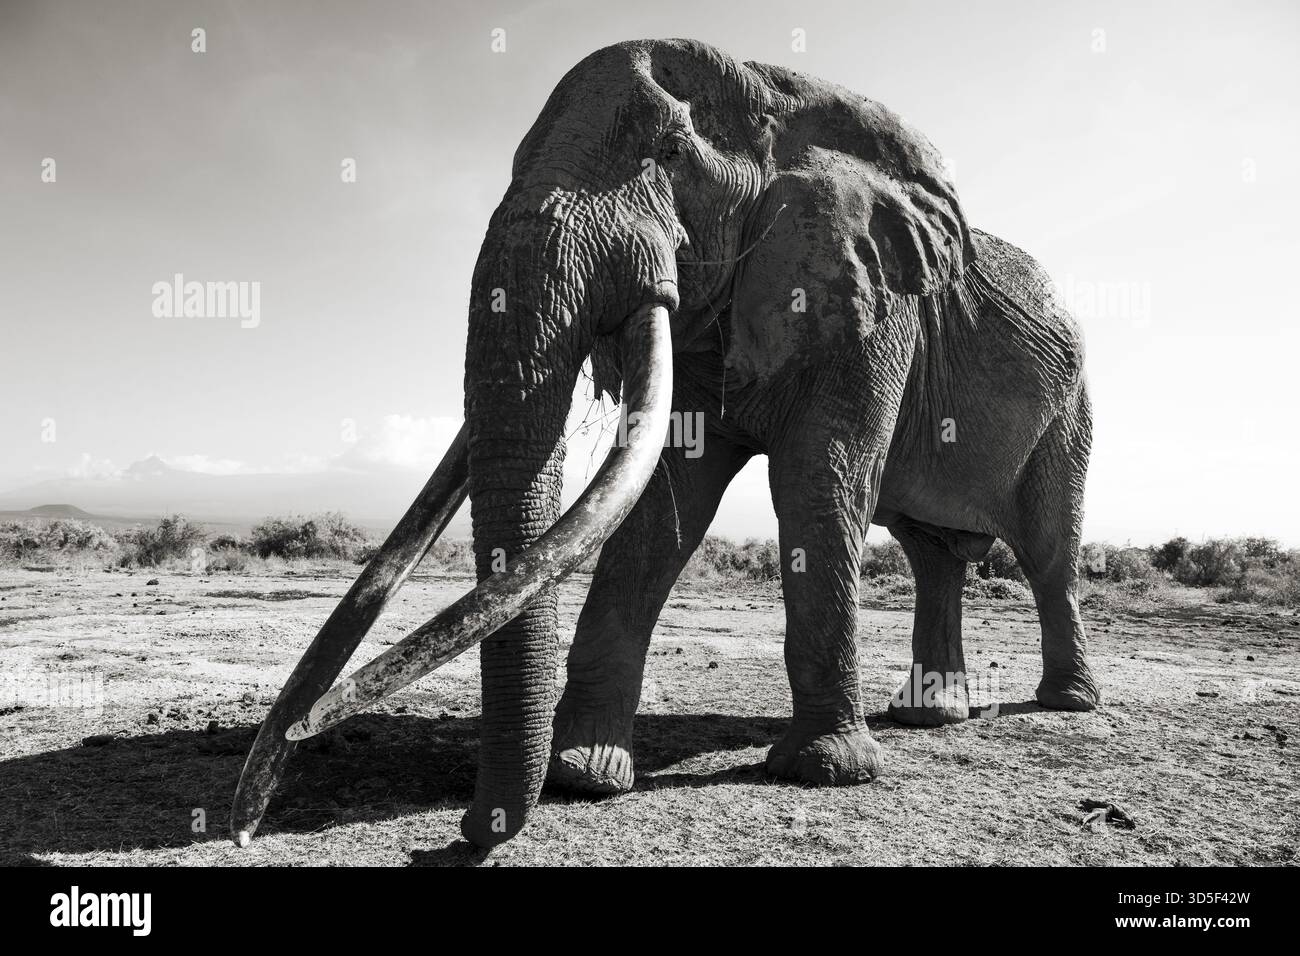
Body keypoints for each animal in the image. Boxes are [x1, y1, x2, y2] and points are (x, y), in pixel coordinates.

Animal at [230, 38, 1099, 850]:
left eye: (673, 154)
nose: (469, 832)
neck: (780, 91)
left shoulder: (871, 299)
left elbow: (819, 485)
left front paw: (824, 773)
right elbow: (662, 507)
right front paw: (584, 774)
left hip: (1073, 409)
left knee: (1048, 550)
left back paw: (1065, 704)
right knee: (933, 555)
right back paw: (931, 717)